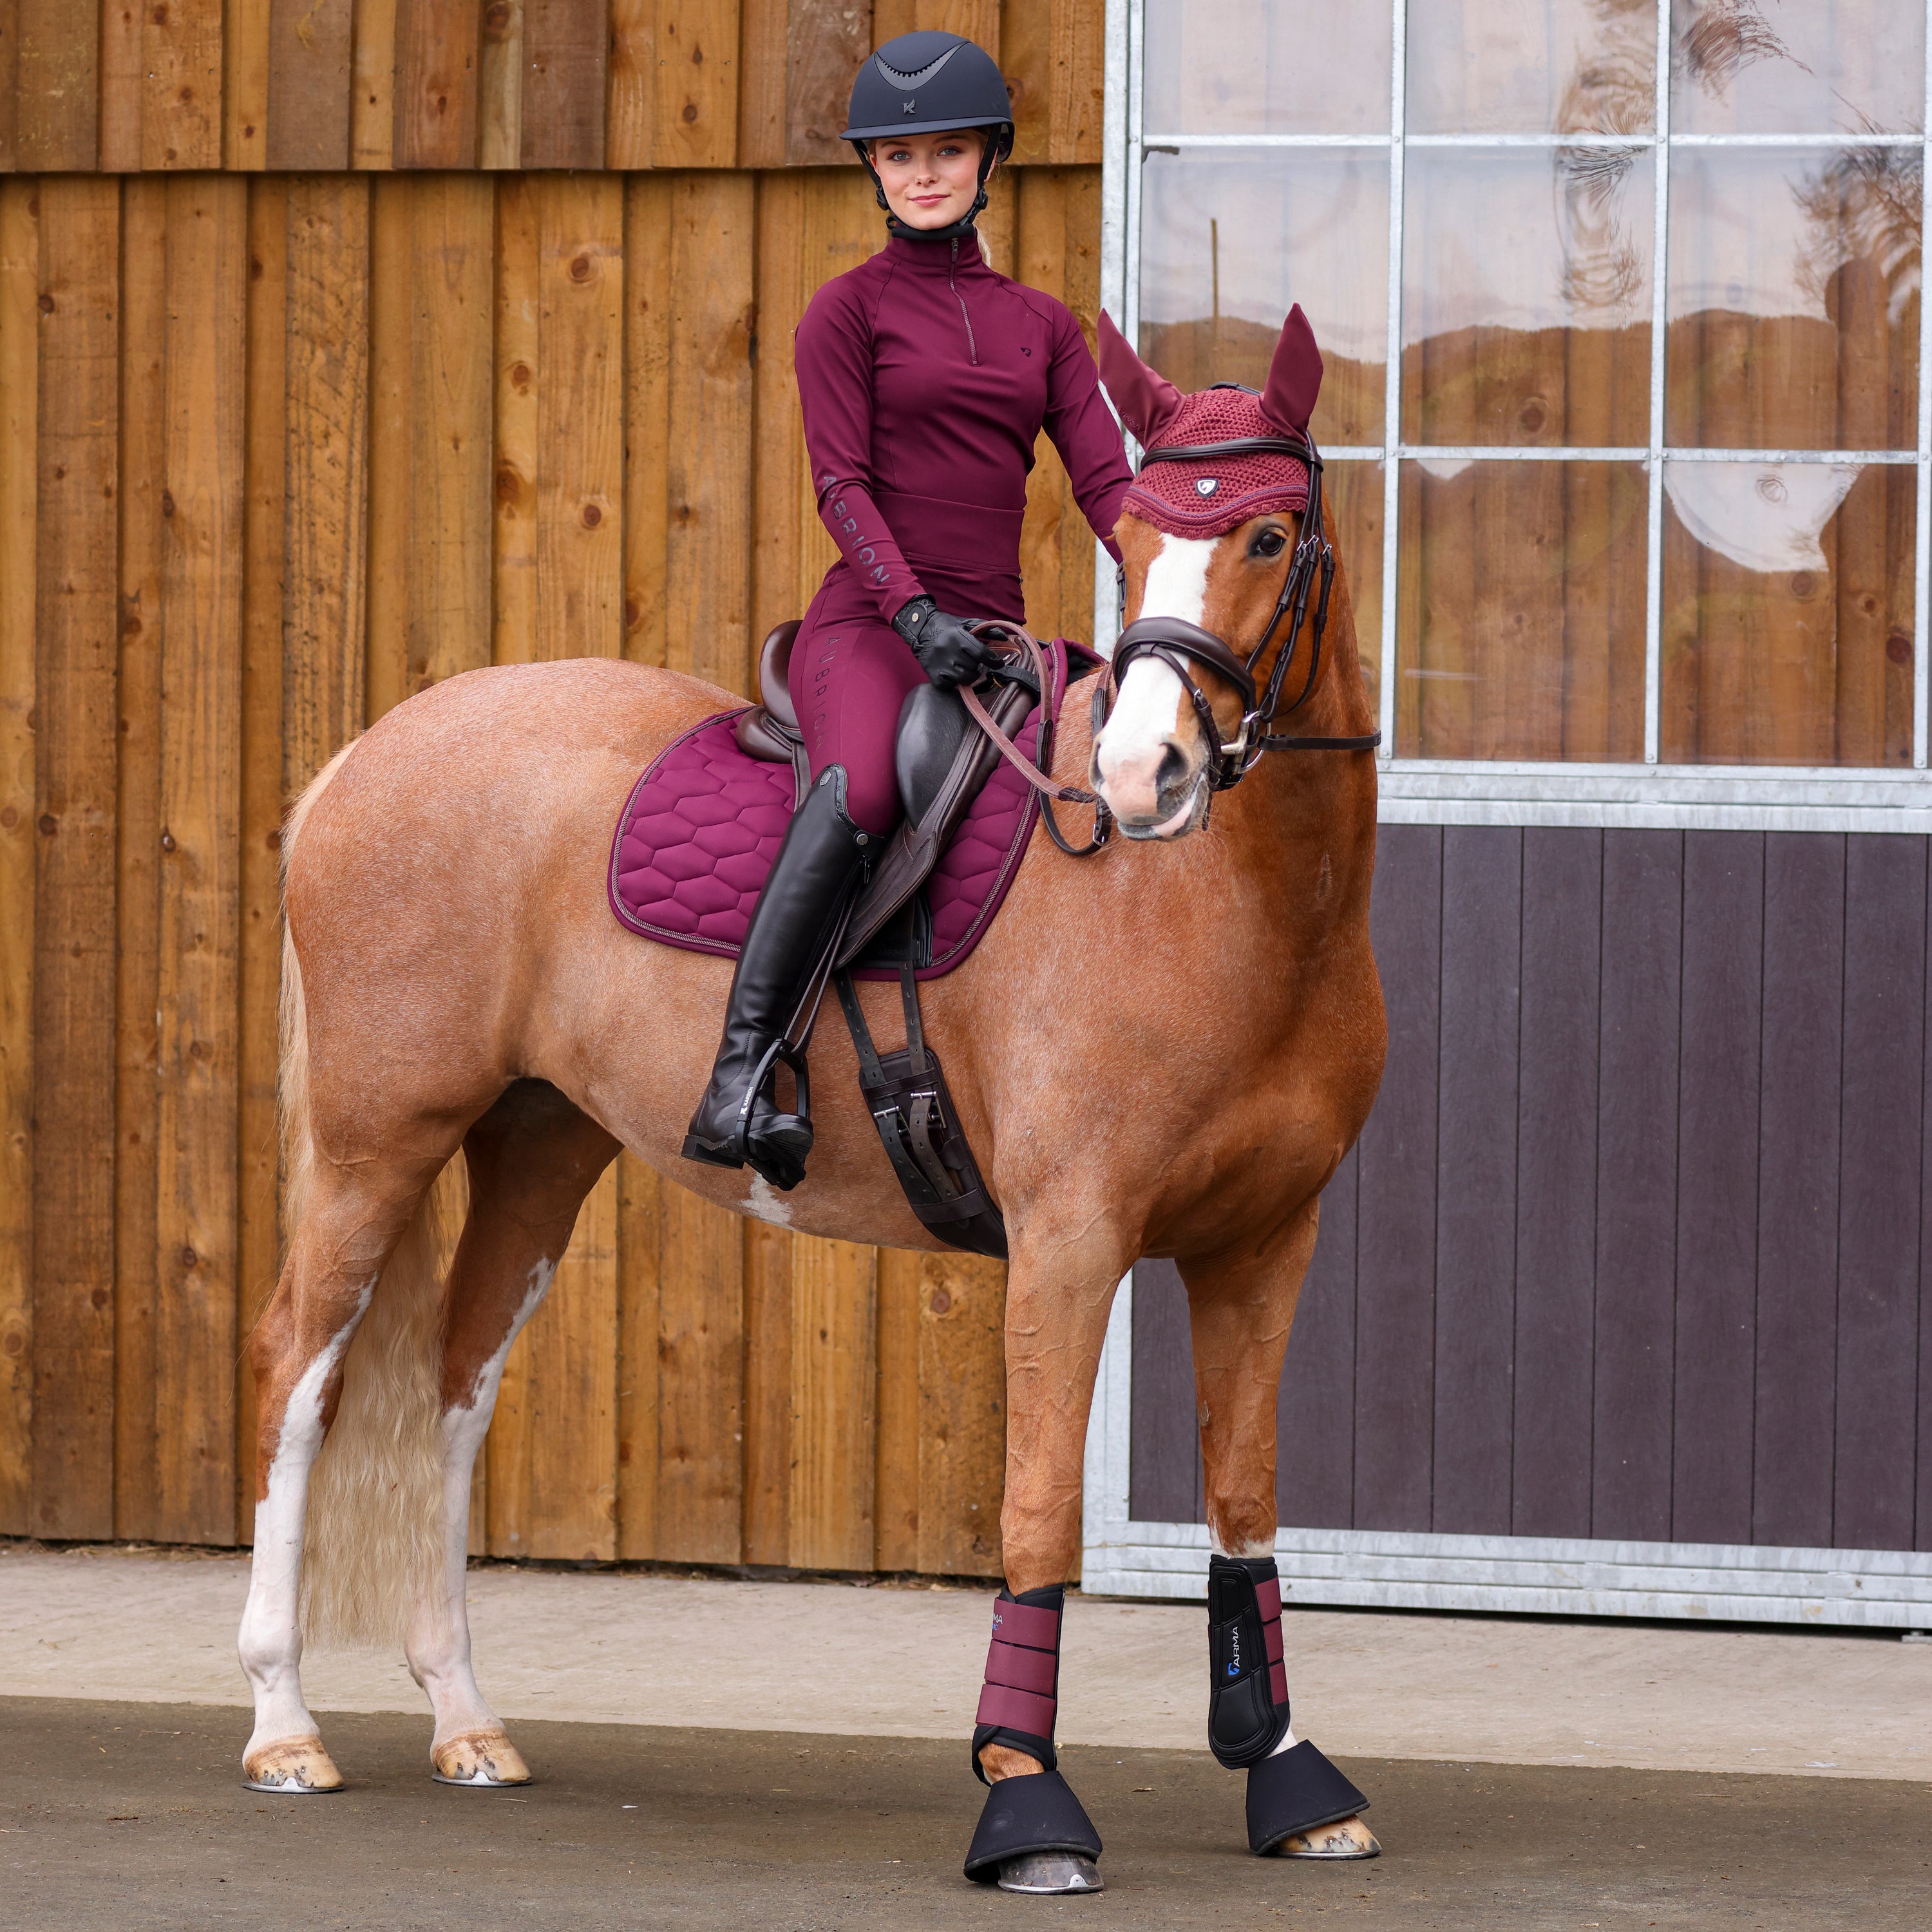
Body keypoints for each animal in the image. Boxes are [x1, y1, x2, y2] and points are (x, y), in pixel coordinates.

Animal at [236, 311, 1387, 1880]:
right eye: (1142, 538)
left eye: (1267, 535)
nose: (1144, 775)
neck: (1229, 907)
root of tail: (378, 745)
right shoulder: (1072, 1243)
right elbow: (1038, 1509)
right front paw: (1024, 1799)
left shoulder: (1266, 1245)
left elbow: (1248, 1501)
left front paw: (1286, 1774)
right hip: (375, 1144)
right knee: (302, 1372)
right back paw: (282, 1726)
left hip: (539, 1146)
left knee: (455, 1391)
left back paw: (465, 1719)